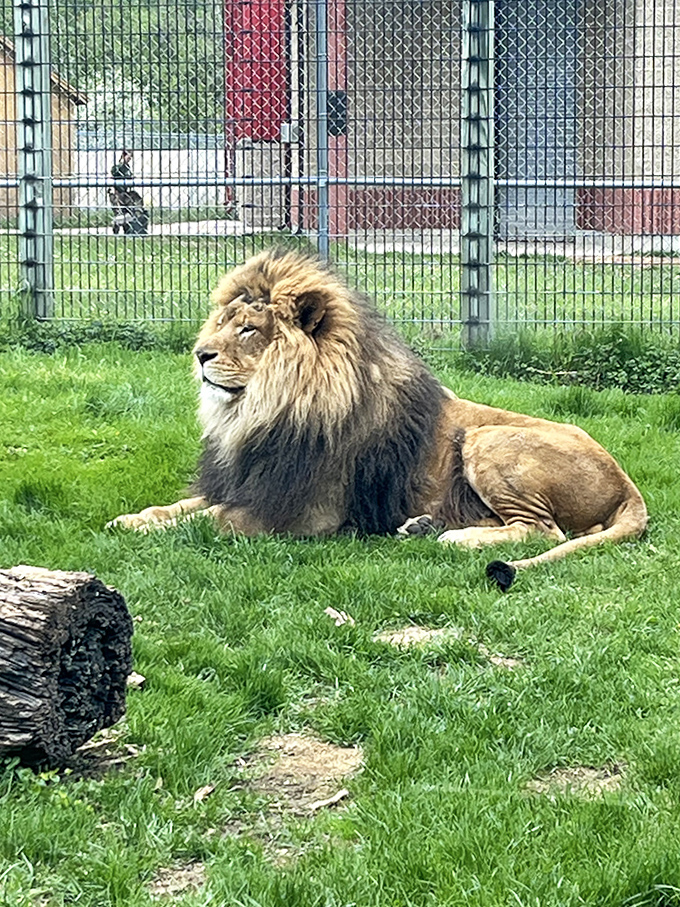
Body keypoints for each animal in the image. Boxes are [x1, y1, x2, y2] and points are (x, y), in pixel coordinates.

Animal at [110, 247, 647, 589]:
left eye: (248, 330)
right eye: (221, 323)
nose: (200, 354)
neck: (261, 413)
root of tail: (628, 484)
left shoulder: (304, 513)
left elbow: (205, 520)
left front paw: (149, 529)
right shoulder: (250, 482)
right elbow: (181, 508)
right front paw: (131, 518)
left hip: (489, 439)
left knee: (544, 530)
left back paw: (454, 537)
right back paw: (421, 527)